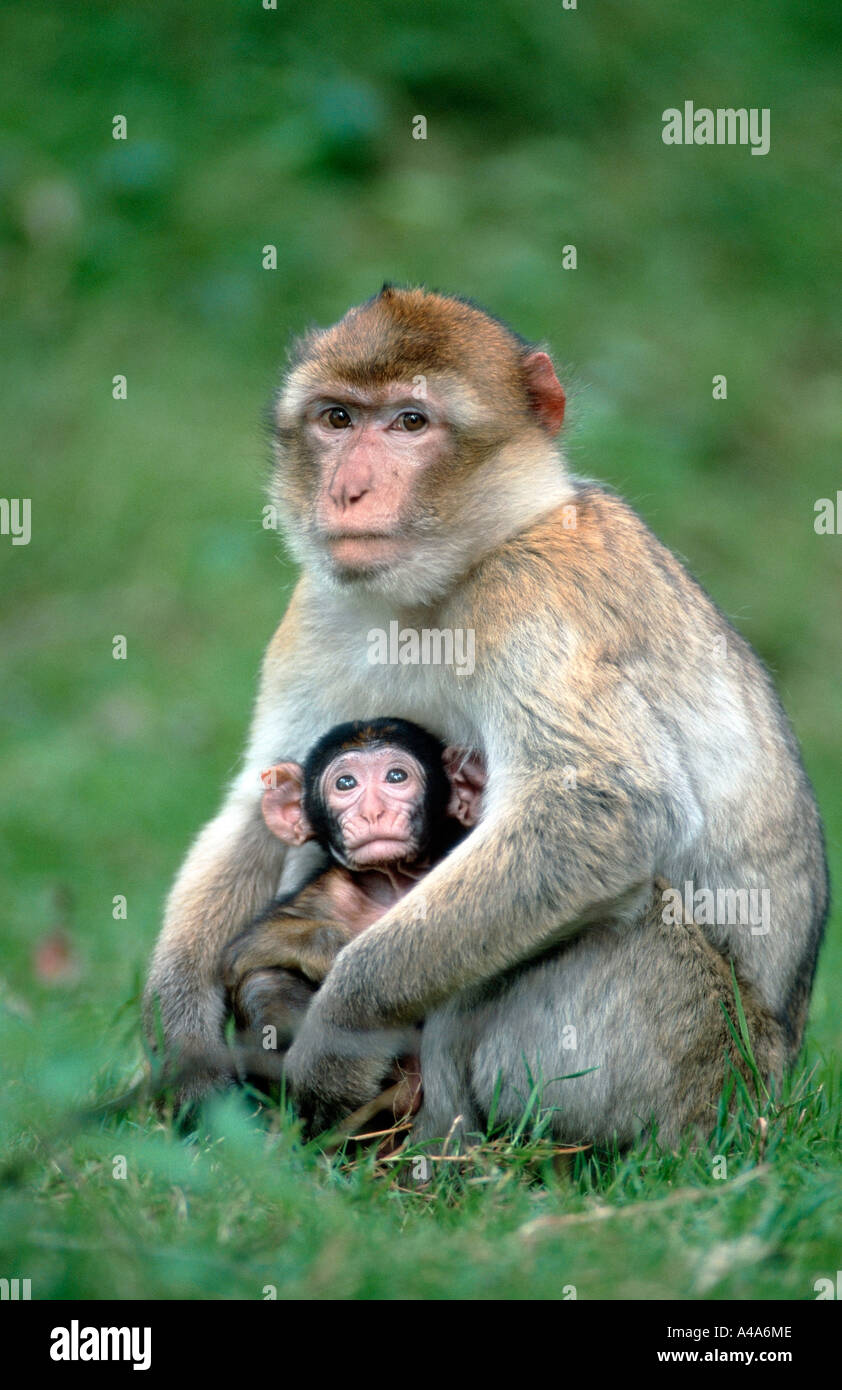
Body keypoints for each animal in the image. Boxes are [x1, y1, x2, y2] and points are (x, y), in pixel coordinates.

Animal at [145, 284, 828, 1145]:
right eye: (337, 418)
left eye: (410, 422)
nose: (348, 491)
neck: (447, 580)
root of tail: (769, 1095)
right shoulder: (318, 607)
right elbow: (262, 806)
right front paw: (182, 1038)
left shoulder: (532, 589)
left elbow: (603, 811)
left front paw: (341, 1028)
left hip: (691, 1063)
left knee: (605, 919)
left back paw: (450, 1145)